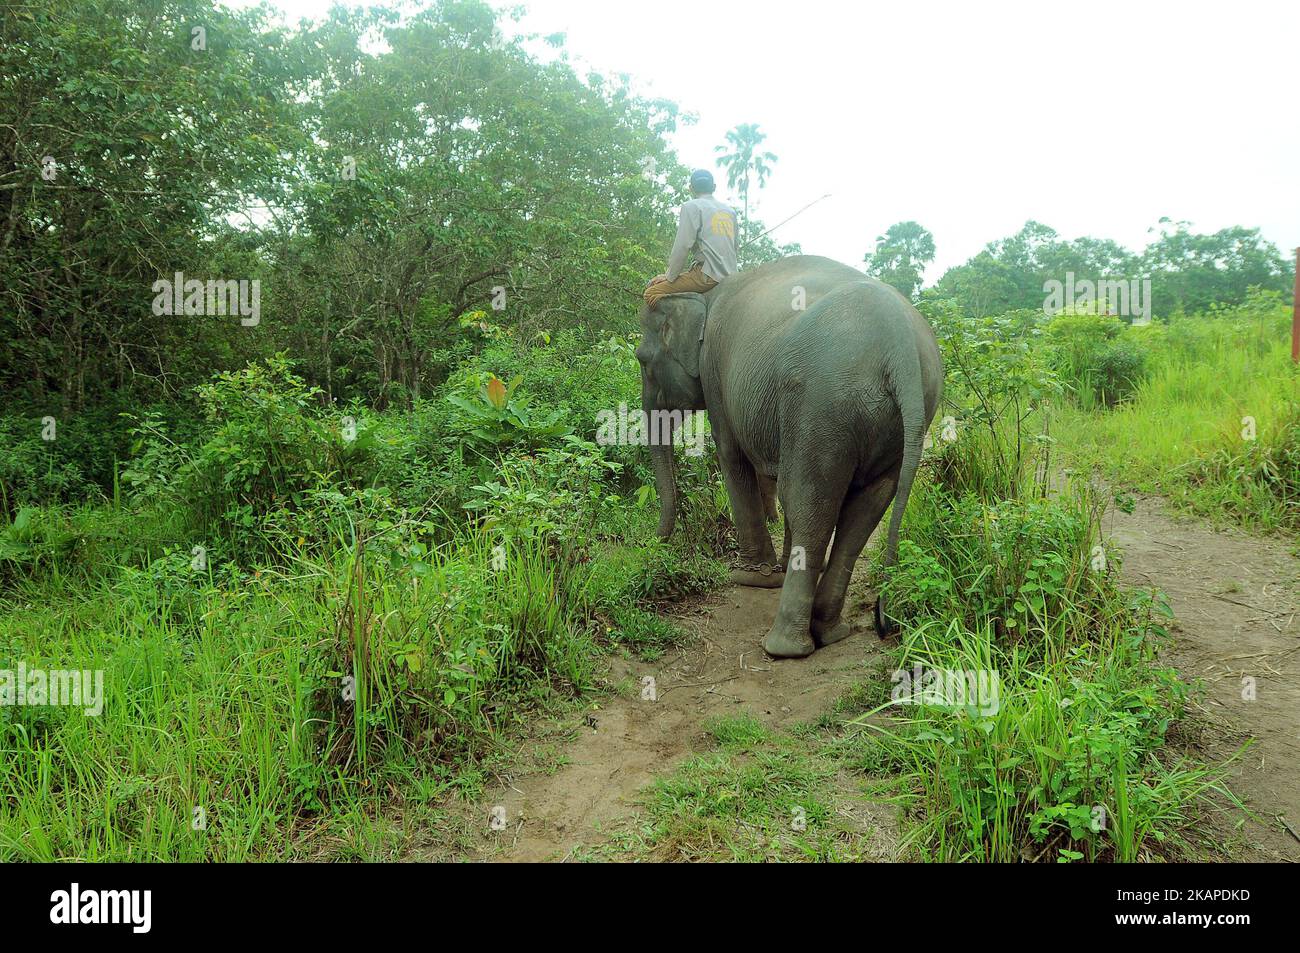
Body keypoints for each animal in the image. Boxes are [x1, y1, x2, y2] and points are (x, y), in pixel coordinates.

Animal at [636, 255, 943, 658]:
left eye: (642, 359)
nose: (653, 544)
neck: (704, 295)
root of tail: (900, 345)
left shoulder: (714, 371)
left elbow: (732, 455)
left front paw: (750, 576)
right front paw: (775, 567)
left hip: (822, 405)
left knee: (811, 506)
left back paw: (784, 646)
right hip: (900, 423)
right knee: (863, 512)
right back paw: (829, 631)